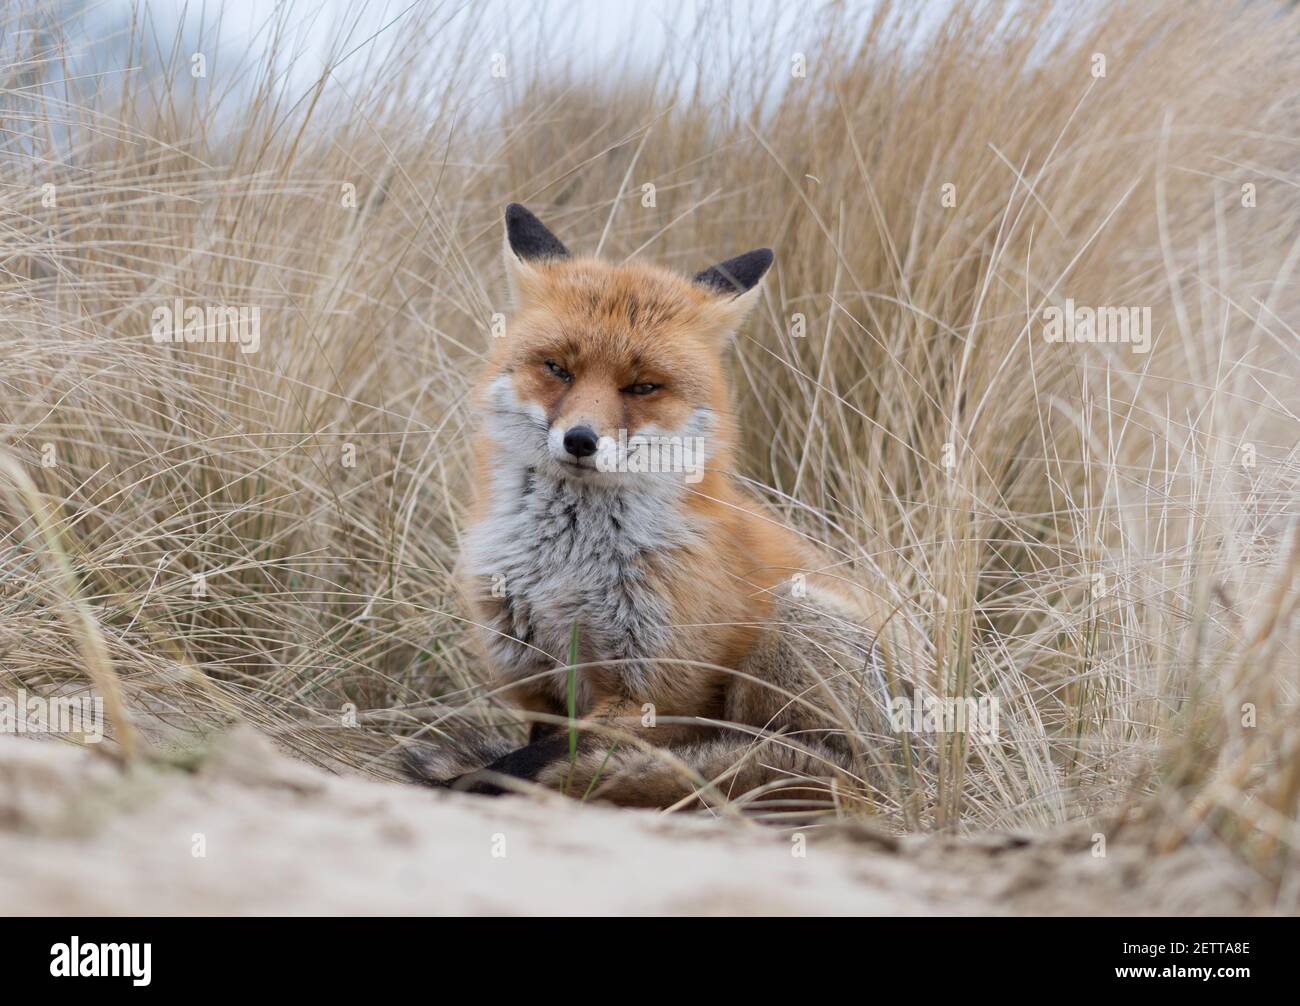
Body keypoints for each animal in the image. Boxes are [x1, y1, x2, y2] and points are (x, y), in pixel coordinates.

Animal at [405, 204, 907, 813]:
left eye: (642, 386)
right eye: (557, 369)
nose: (580, 440)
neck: (566, 564)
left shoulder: (654, 688)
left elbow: (538, 758)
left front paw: (483, 781)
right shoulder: (535, 669)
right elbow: (539, 741)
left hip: (796, 621)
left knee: (815, 764)